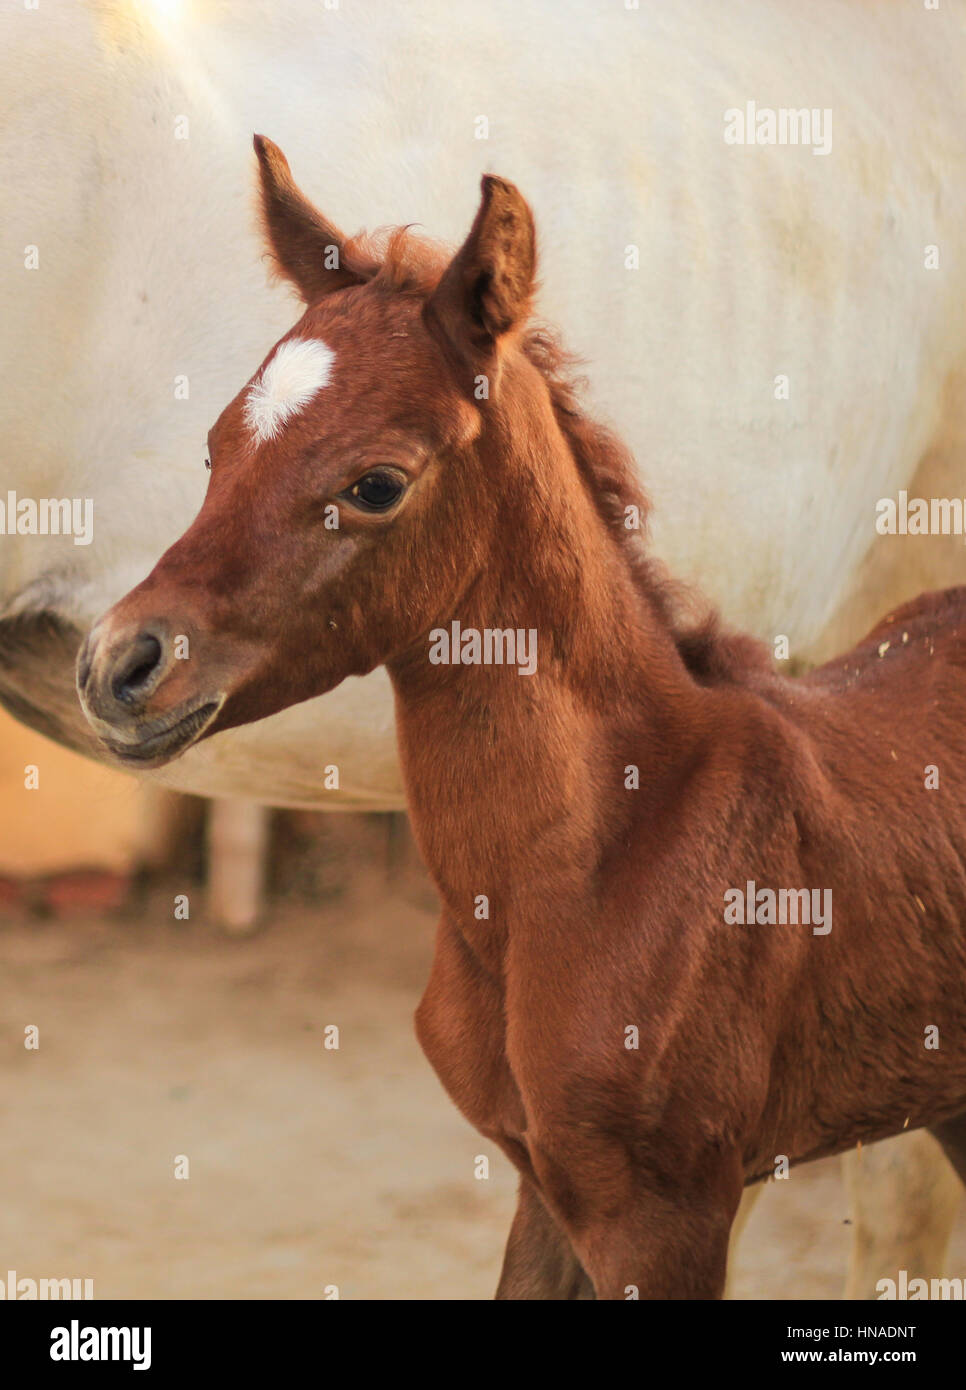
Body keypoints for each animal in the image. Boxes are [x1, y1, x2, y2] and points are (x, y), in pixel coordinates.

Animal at [76, 145, 966, 1297]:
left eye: (376, 482)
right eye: (220, 443)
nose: (118, 665)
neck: (594, 856)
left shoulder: (668, 1213)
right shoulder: (543, 1188)